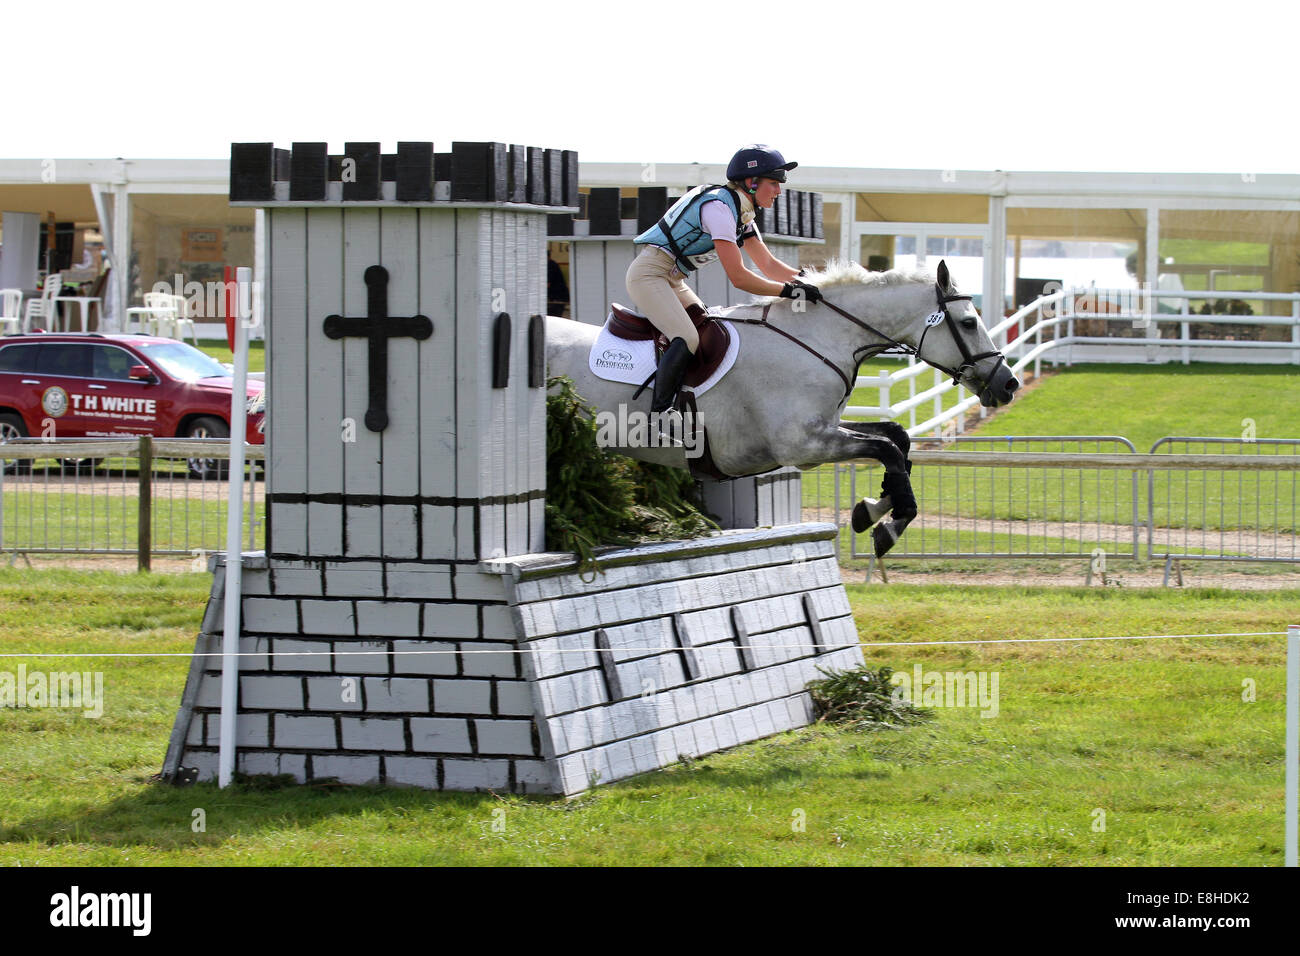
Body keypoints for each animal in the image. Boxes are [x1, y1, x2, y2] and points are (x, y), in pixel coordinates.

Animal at [544, 259, 1020, 555]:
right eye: (969, 323)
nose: (1009, 384)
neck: (819, 338)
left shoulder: (825, 427)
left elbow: (896, 440)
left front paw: (872, 509)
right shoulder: (804, 446)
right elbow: (886, 449)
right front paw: (889, 523)